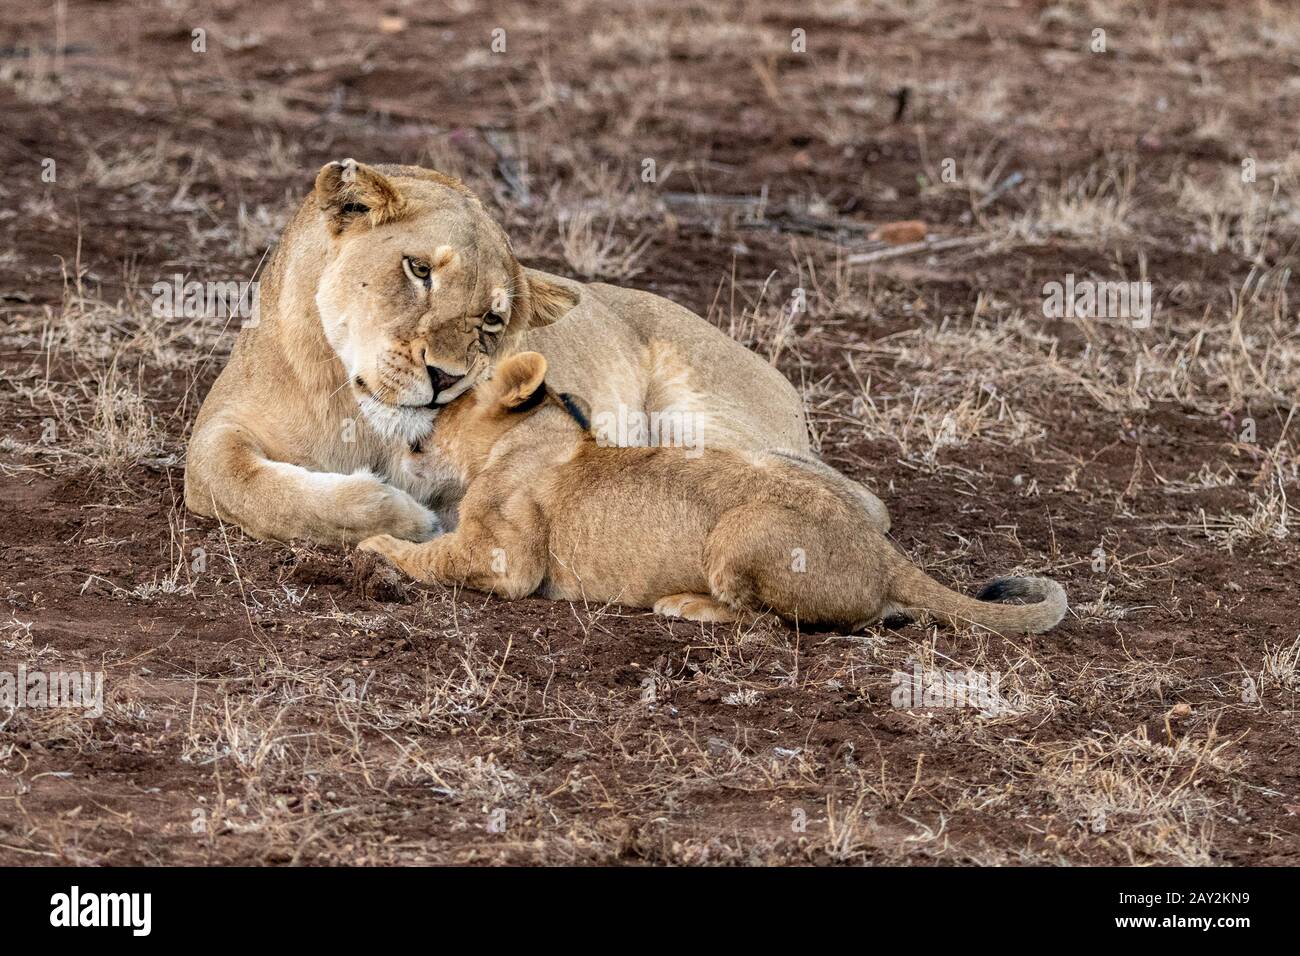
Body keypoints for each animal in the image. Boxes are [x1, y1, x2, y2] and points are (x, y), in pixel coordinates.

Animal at [184, 160, 890, 544]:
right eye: (418, 269)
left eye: (493, 320)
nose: (443, 378)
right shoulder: (217, 429)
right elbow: (237, 482)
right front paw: (396, 514)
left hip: (705, 417)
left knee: (853, 500)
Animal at [360, 352, 1067, 634]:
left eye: (449, 396)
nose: (418, 402)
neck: (535, 432)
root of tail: (886, 555)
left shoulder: (508, 560)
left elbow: (430, 555)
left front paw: (373, 545)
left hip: (742, 530)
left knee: (771, 624)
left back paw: (685, 605)